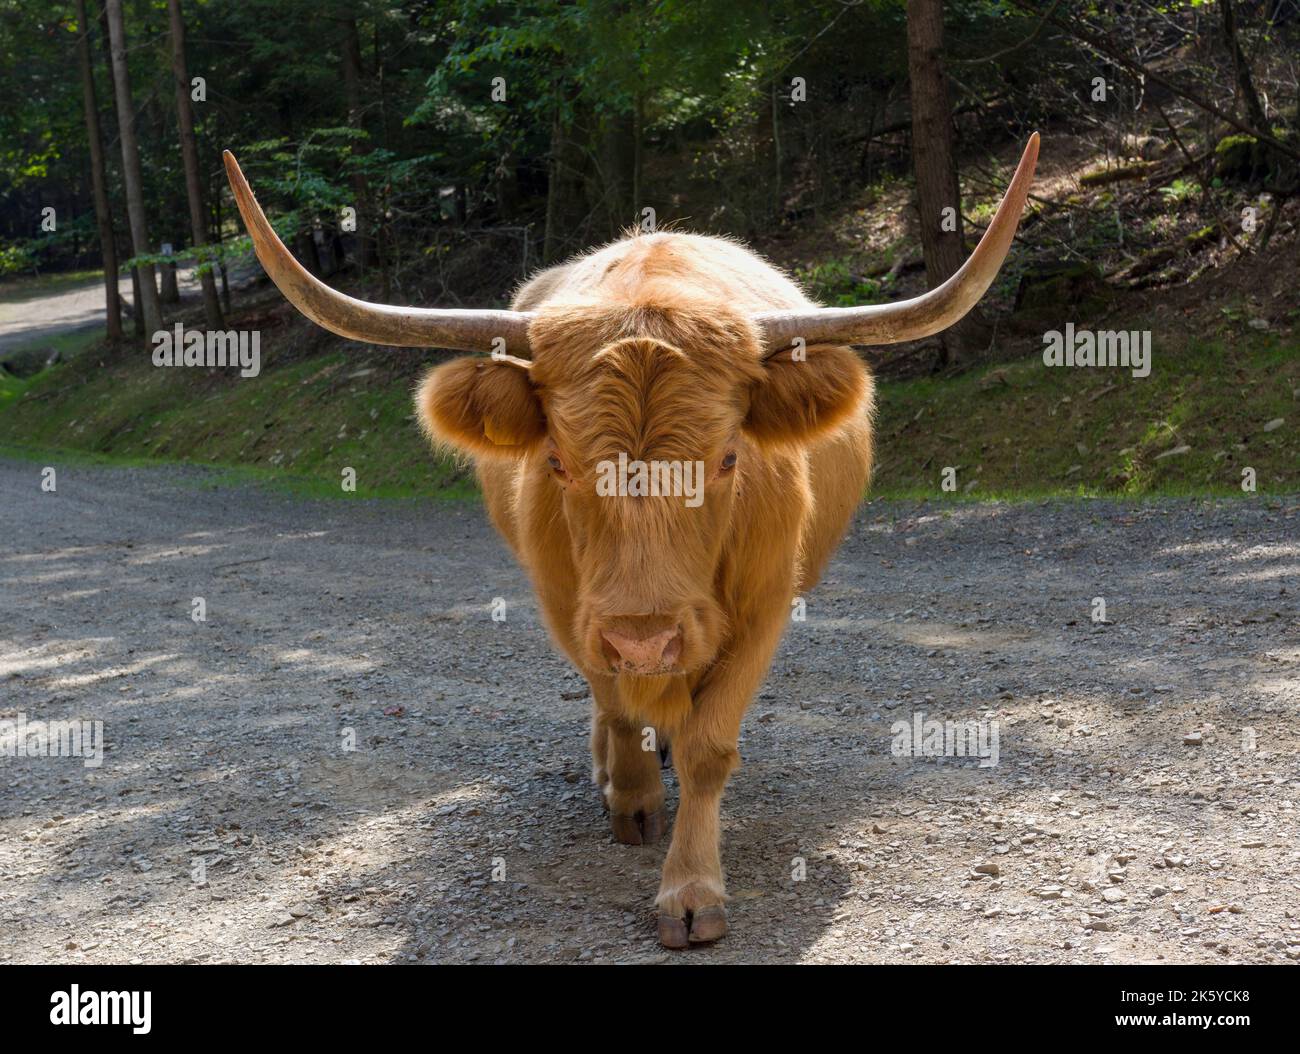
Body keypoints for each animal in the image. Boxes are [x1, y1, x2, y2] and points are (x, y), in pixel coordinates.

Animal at [223, 134, 1038, 948]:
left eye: (728, 458)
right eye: (558, 461)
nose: (644, 639)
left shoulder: (766, 604)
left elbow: (710, 747)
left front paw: (691, 888)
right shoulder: (568, 606)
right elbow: (615, 702)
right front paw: (633, 796)